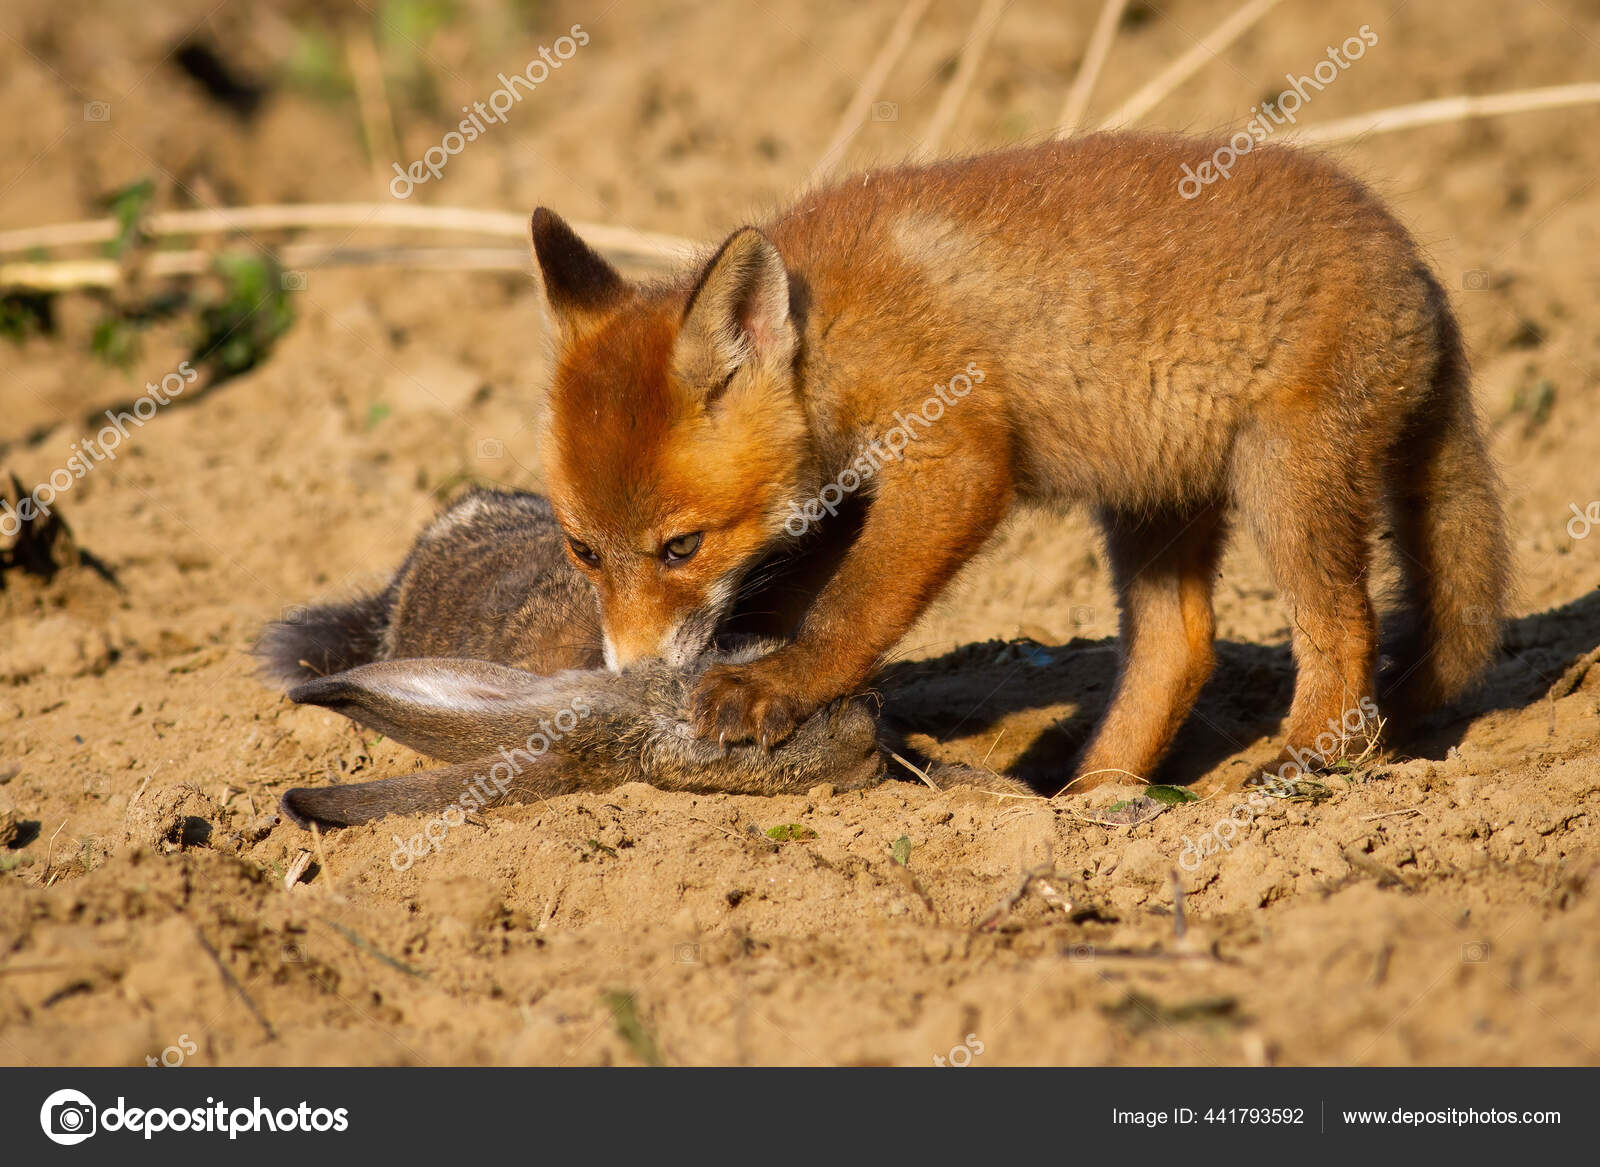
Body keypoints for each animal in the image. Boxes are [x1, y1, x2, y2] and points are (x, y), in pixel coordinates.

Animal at [527, 133, 1510, 791]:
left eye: (681, 547)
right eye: (582, 551)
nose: (629, 673)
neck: (834, 330)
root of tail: (1415, 263)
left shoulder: (954, 458)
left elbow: (851, 608)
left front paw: (779, 682)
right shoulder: (850, 491)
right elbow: (798, 591)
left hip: (1286, 479)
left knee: (1344, 627)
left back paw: (1307, 756)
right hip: (1152, 497)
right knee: (1181, 646)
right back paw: (1089, 796)